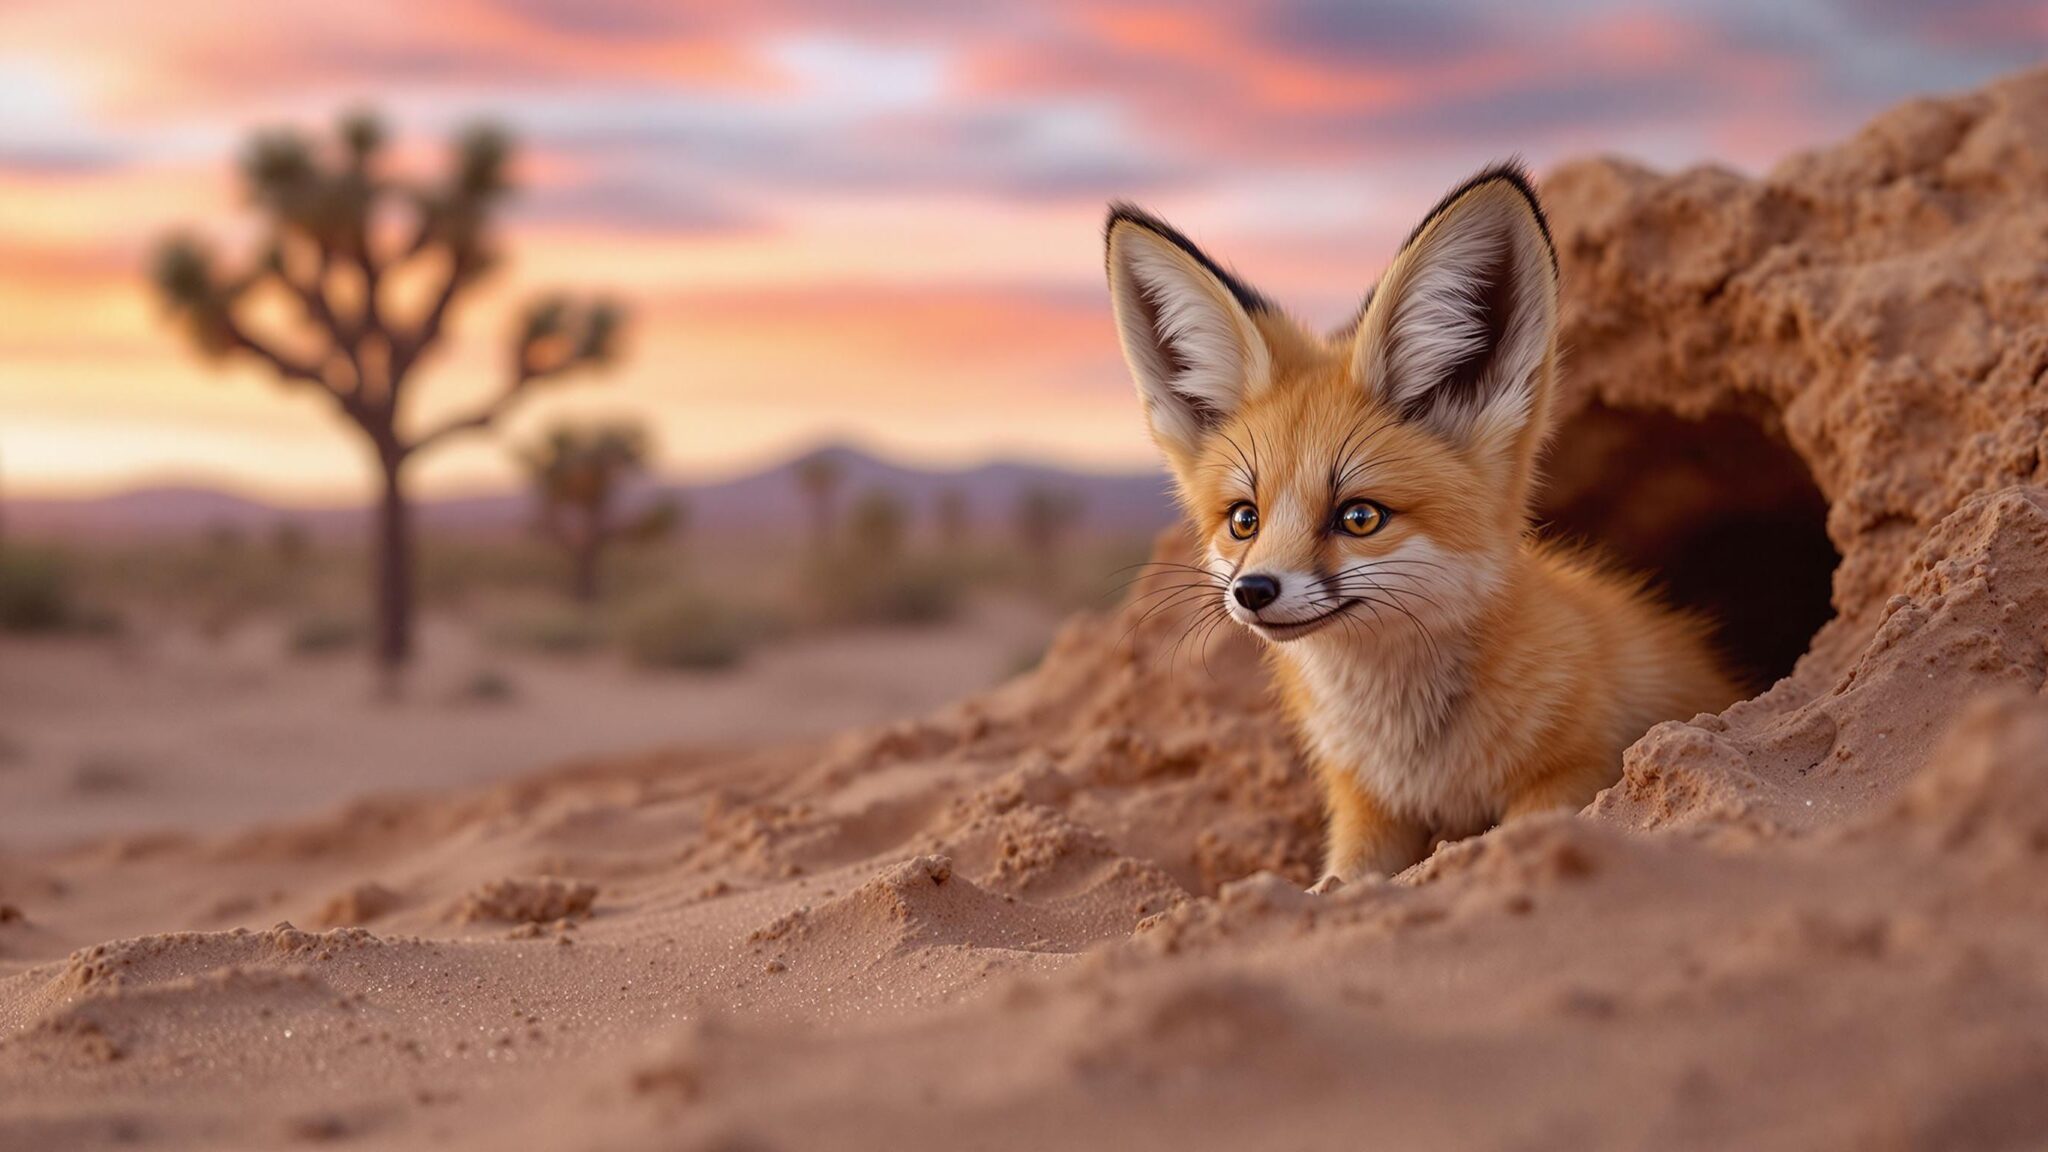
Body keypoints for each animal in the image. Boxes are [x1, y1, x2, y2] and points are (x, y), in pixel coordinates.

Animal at [1104, 164, 1741, 885]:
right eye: (1245, 519)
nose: (1253, 590)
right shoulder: (1365, 807)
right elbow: (1338, 880)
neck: (1420, 758)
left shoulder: (1579, 767)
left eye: (1359, 517)